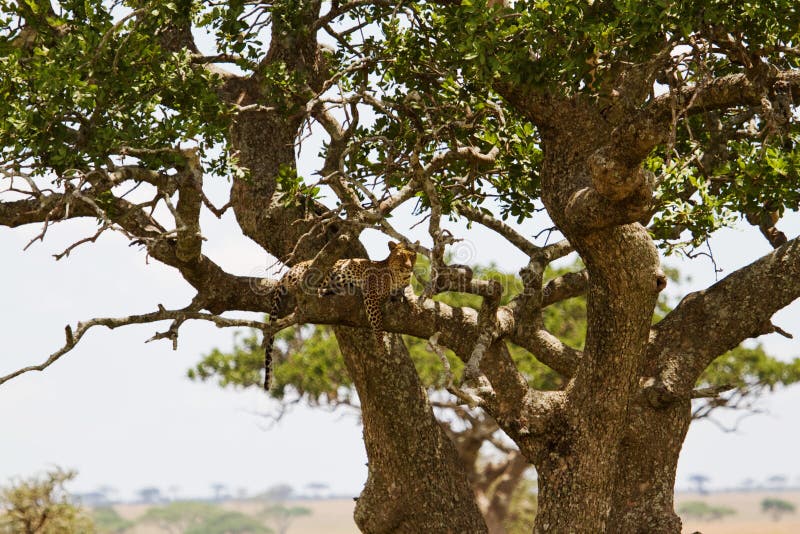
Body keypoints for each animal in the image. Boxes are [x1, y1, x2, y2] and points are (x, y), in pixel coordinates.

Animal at [263, 241, 417, 389]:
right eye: (402, 256)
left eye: (413, 256)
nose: (409, 267)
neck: (400, 276)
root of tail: (289, 270)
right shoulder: (371, 294)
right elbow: (377, 323)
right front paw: (381, 347)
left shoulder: (403, 286)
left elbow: (408, 291)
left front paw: (412, 303)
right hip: (325, 271)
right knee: (301, 286)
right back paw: (326, 289)